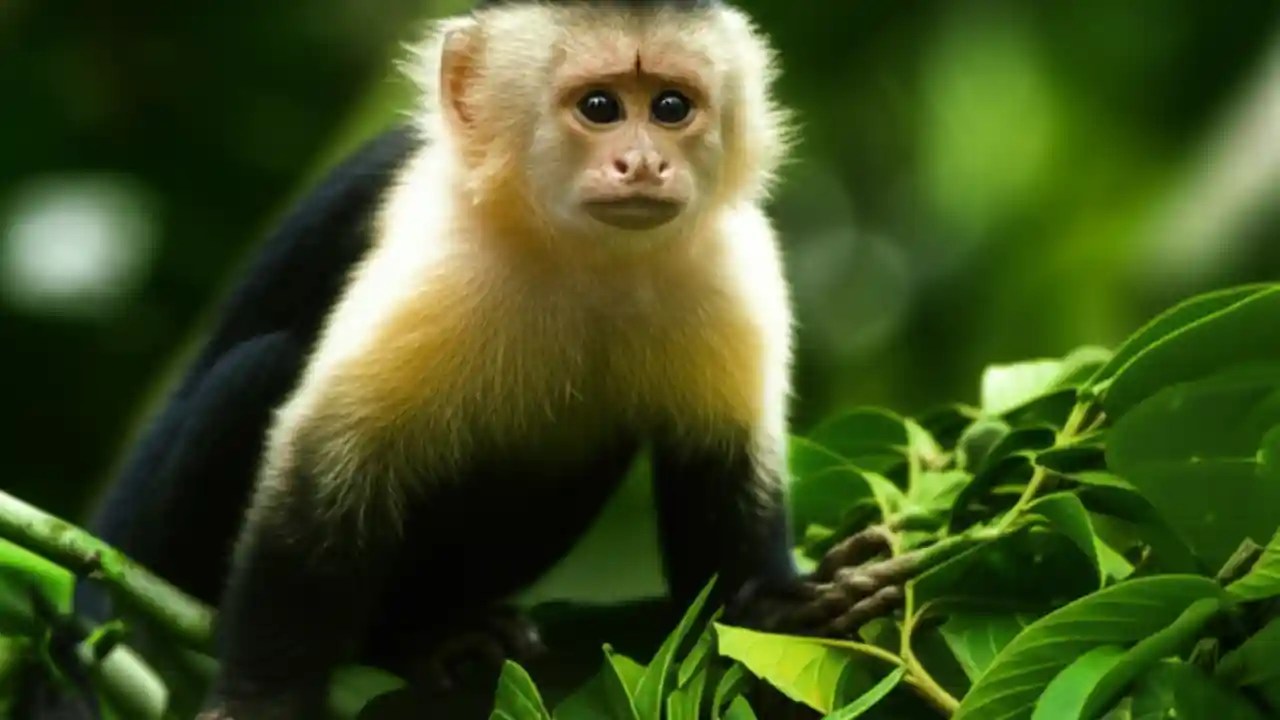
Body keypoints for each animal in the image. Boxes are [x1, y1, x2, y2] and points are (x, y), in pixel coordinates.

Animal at [41, 1, 911, 719]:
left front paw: (776, 607)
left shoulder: (730, 261)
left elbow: (722, 475)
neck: (586, 255)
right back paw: (398, 639)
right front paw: (263, 699)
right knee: (255, 373)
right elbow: (325, 470)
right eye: (600, 108)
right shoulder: (439, 251)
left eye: (671, 106)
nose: (643, 163)